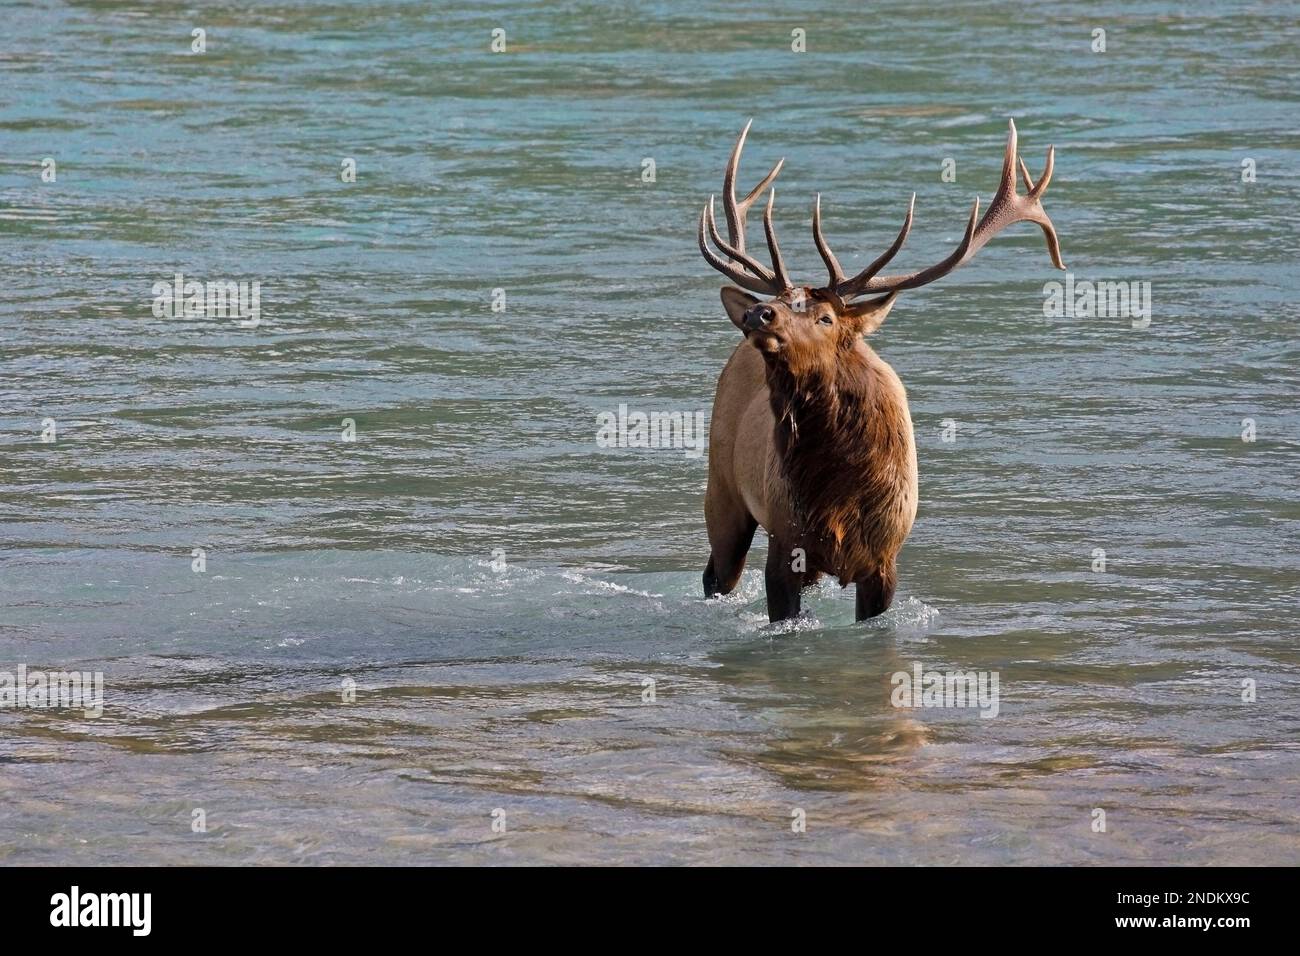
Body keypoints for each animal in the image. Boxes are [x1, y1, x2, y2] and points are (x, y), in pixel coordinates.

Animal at [698, 119, 1064, 623]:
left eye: (826, 318)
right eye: (782, 301)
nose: (760, 313)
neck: (837, 490)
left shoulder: (884, 556)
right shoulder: (785, 541)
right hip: (723, 487)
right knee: (715, 574)